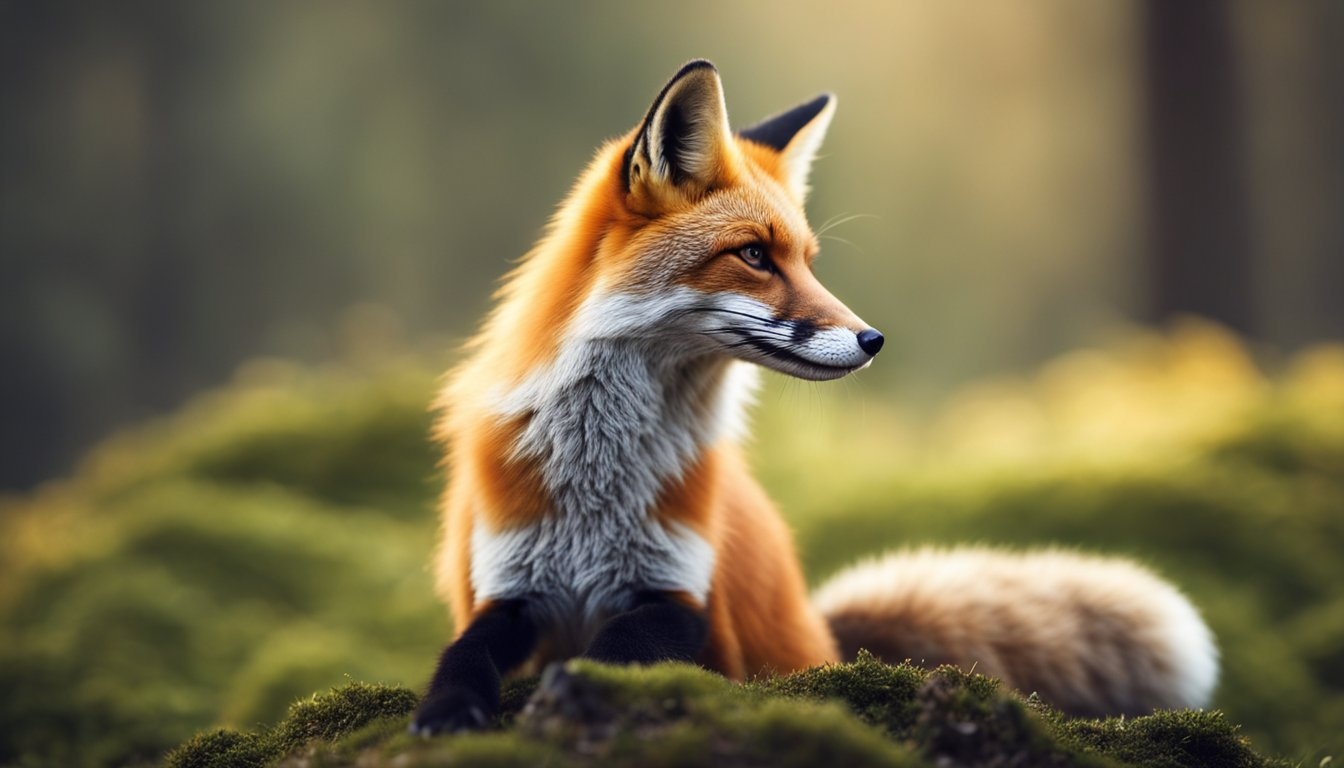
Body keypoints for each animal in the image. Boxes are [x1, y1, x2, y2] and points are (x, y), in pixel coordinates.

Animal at [410, 60, 1218, 734]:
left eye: (806, 261)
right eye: (754, 255)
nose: (873, 339)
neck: (599, 482)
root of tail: (823, 631)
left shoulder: (680, 595)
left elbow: (610, 651)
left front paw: (567, 695)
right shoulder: (506, 586)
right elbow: (463, 652)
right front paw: (448, 711)